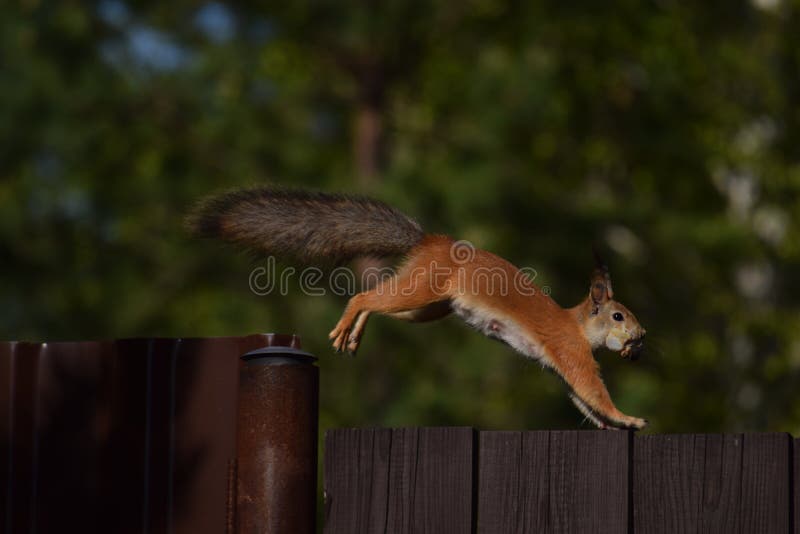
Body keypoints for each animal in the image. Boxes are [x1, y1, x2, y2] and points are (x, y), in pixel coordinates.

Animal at [188, 187, 648, 430]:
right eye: (619, 315)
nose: (641, 338)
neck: (578, 324)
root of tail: (429, 242)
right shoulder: (572, 353)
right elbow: (592, 390)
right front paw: (627, 418)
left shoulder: (560, 367)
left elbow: (581, 401)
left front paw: (608, 425)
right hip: (423, 289)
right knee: (365, 297)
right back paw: (345, 326)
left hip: (428, 308)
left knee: (380, 303)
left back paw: (355, 333)